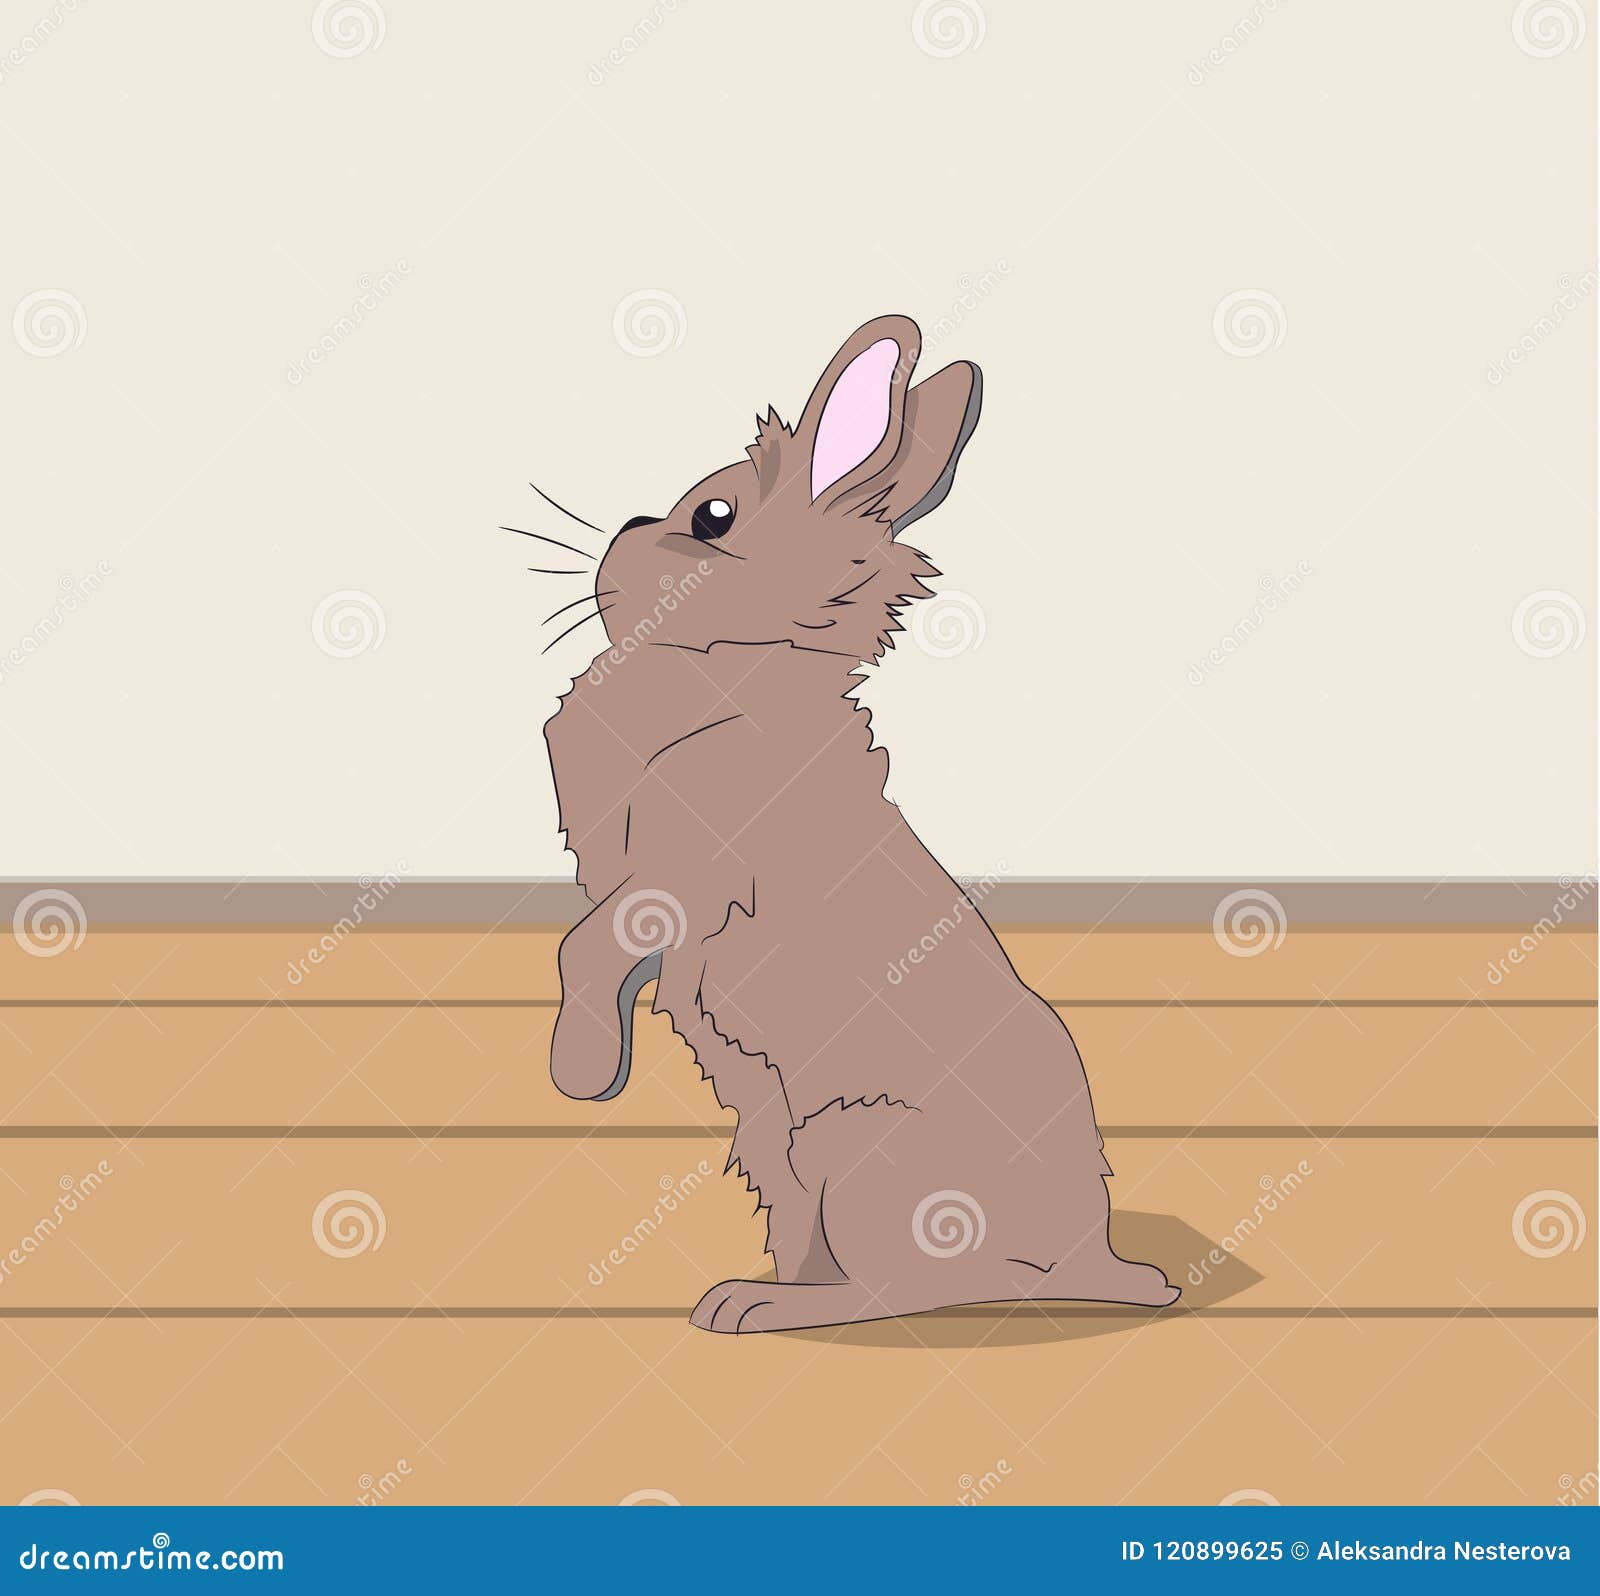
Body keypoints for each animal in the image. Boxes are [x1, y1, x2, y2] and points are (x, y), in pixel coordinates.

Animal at [542, 314, 1179, 1333]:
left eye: (712, 518)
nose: (622, 537)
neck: (738, 663)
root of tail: (1091, 1256)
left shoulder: (679, 881)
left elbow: (585, 949)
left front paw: (582, 1071)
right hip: (783, 1157)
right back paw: (750, 1297)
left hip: (854, 1155)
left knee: (922, 1288)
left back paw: (761, 1310)